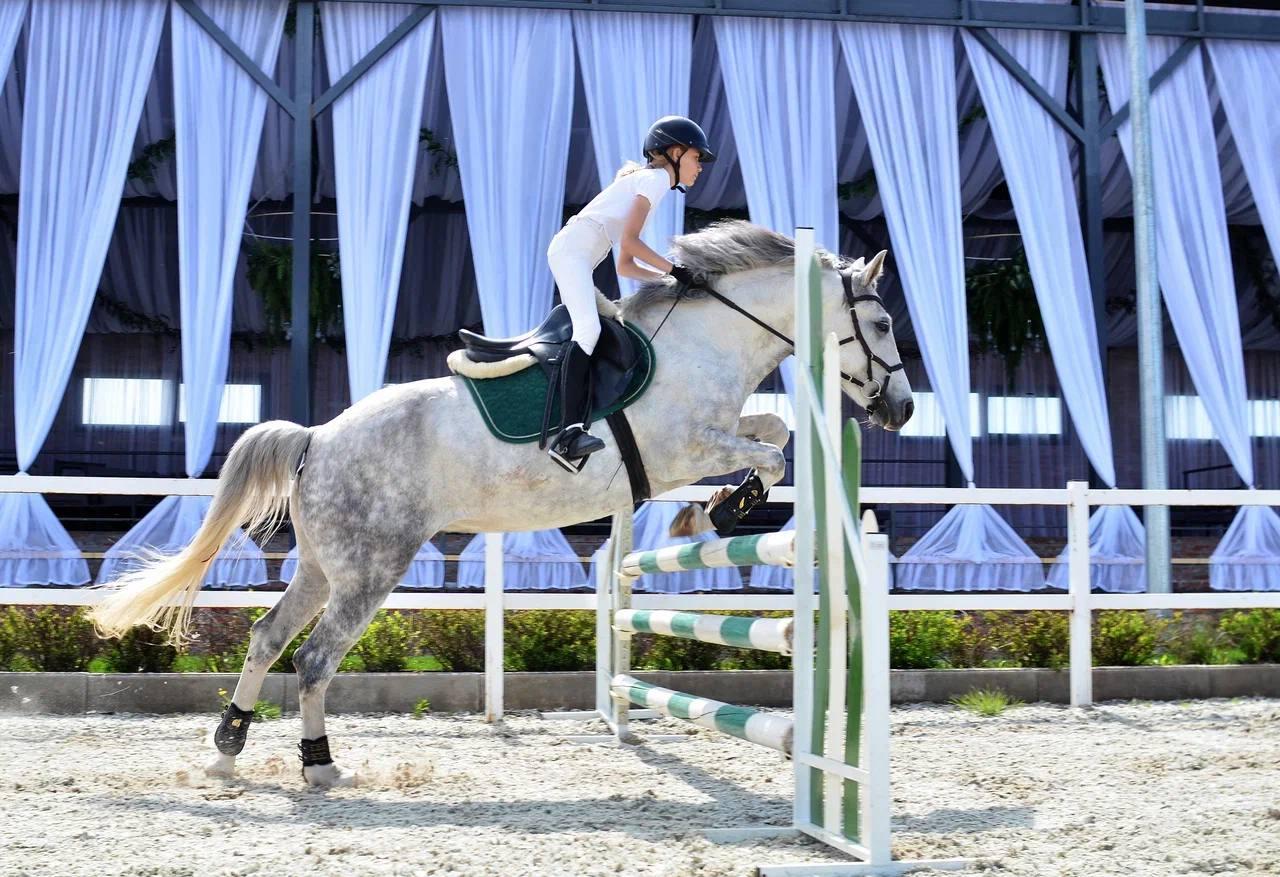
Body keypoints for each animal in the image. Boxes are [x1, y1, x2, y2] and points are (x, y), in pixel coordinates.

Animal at [91, 221, 913, 787]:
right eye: (880, 324)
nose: (902, 409)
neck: (704, 341)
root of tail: (318, 436)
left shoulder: (714, 434)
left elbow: (773, 430)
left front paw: (704, 511)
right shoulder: (686, 445)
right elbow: (770, 451)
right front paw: (717, 512)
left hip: (324, 566)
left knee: (266, 638)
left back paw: (227, 750)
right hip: (371, 569)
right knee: (316, 659)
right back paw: (319, 764)